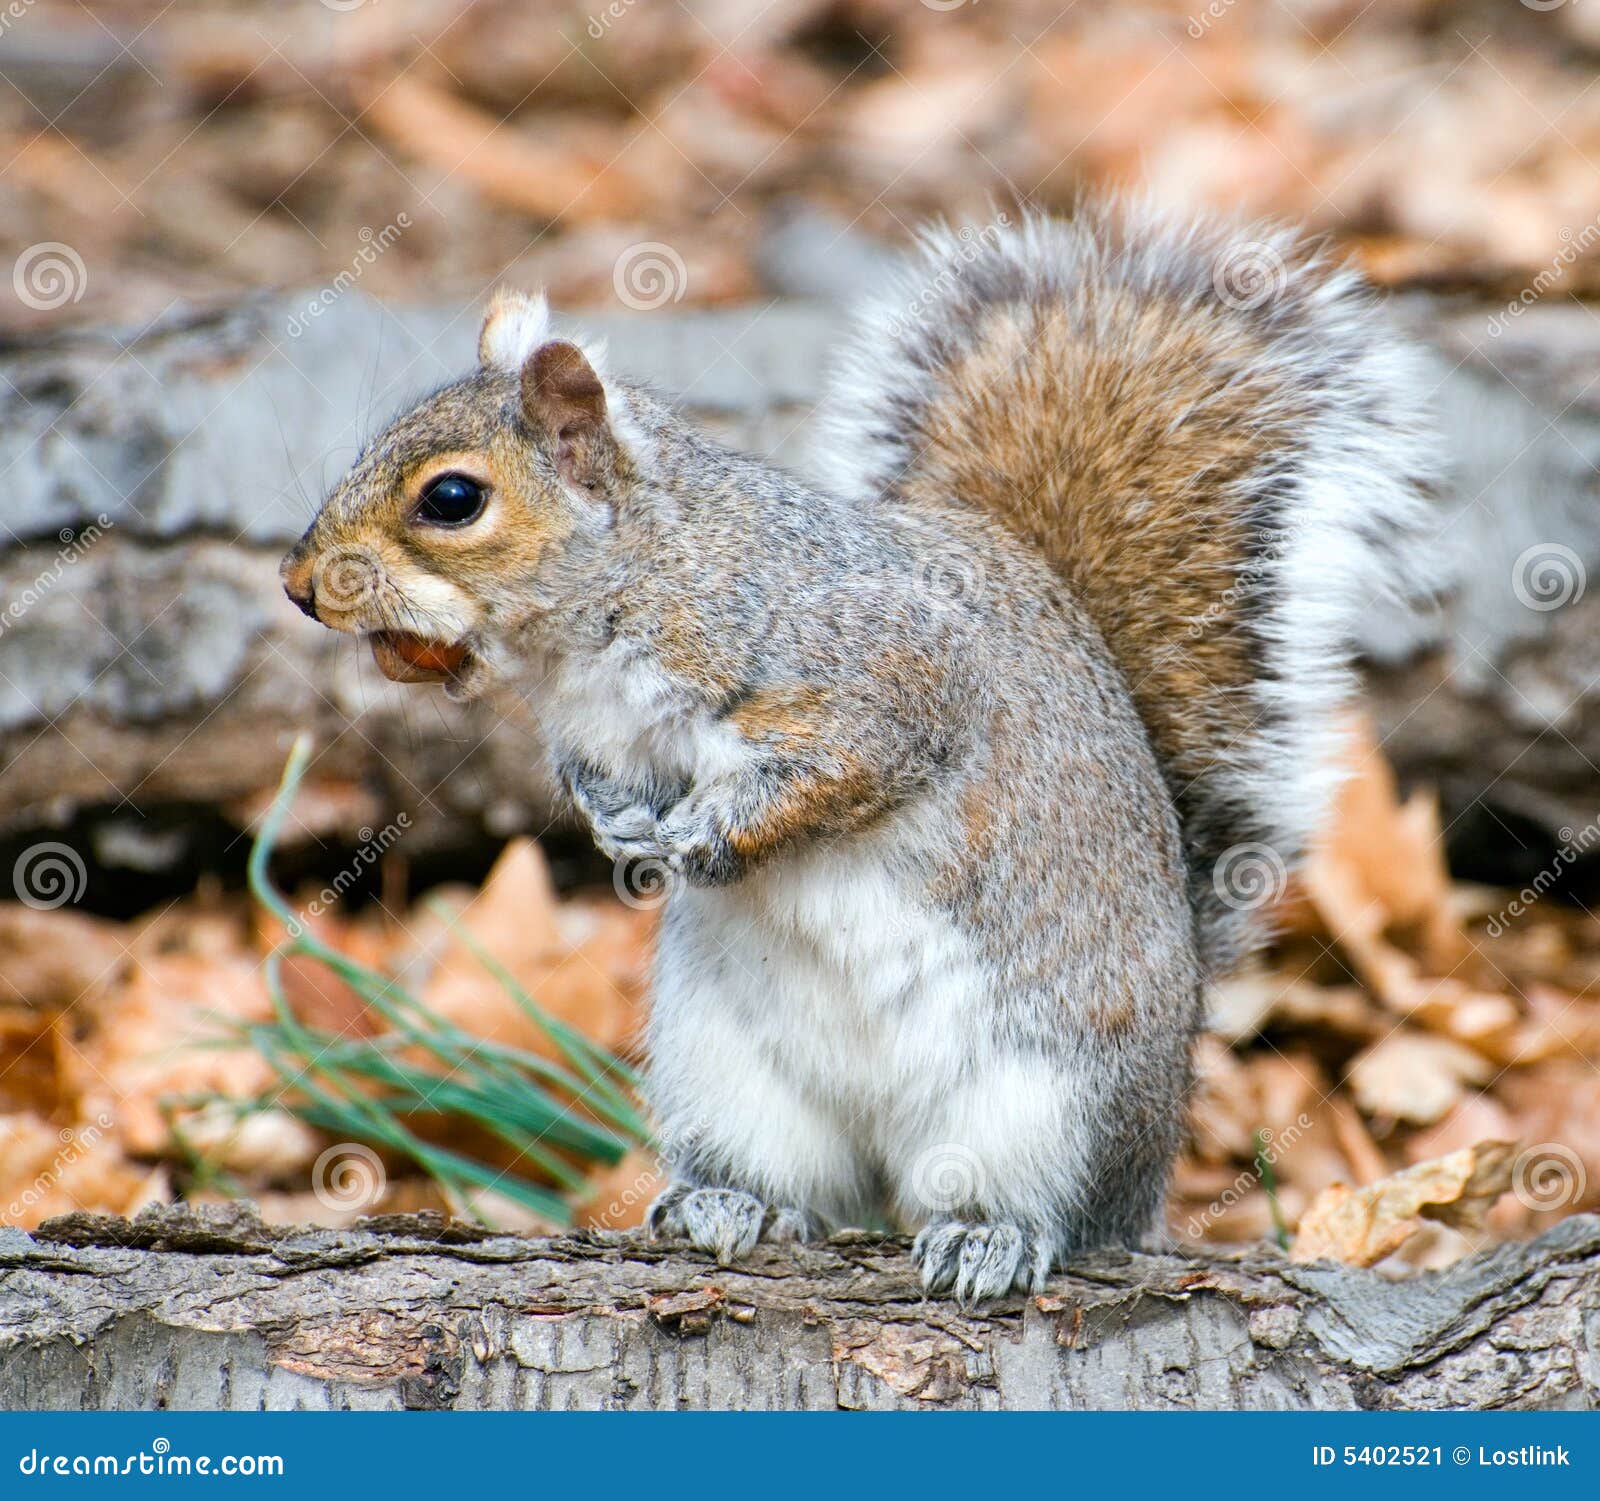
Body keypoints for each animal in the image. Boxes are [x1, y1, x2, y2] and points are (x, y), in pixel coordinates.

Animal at [281, 198, 1438, 1305]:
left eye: (452, 498)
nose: (296, 585)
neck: (615, 609)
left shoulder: (881, 678)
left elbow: (839, 770)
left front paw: (705, 838)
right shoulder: (602, 740)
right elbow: (602, 787)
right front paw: (623, 836)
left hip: (1050, 1100)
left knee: (1048, 1209)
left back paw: (991, 1237)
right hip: (727, 1075)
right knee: (800, 1184)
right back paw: (727, 1204)